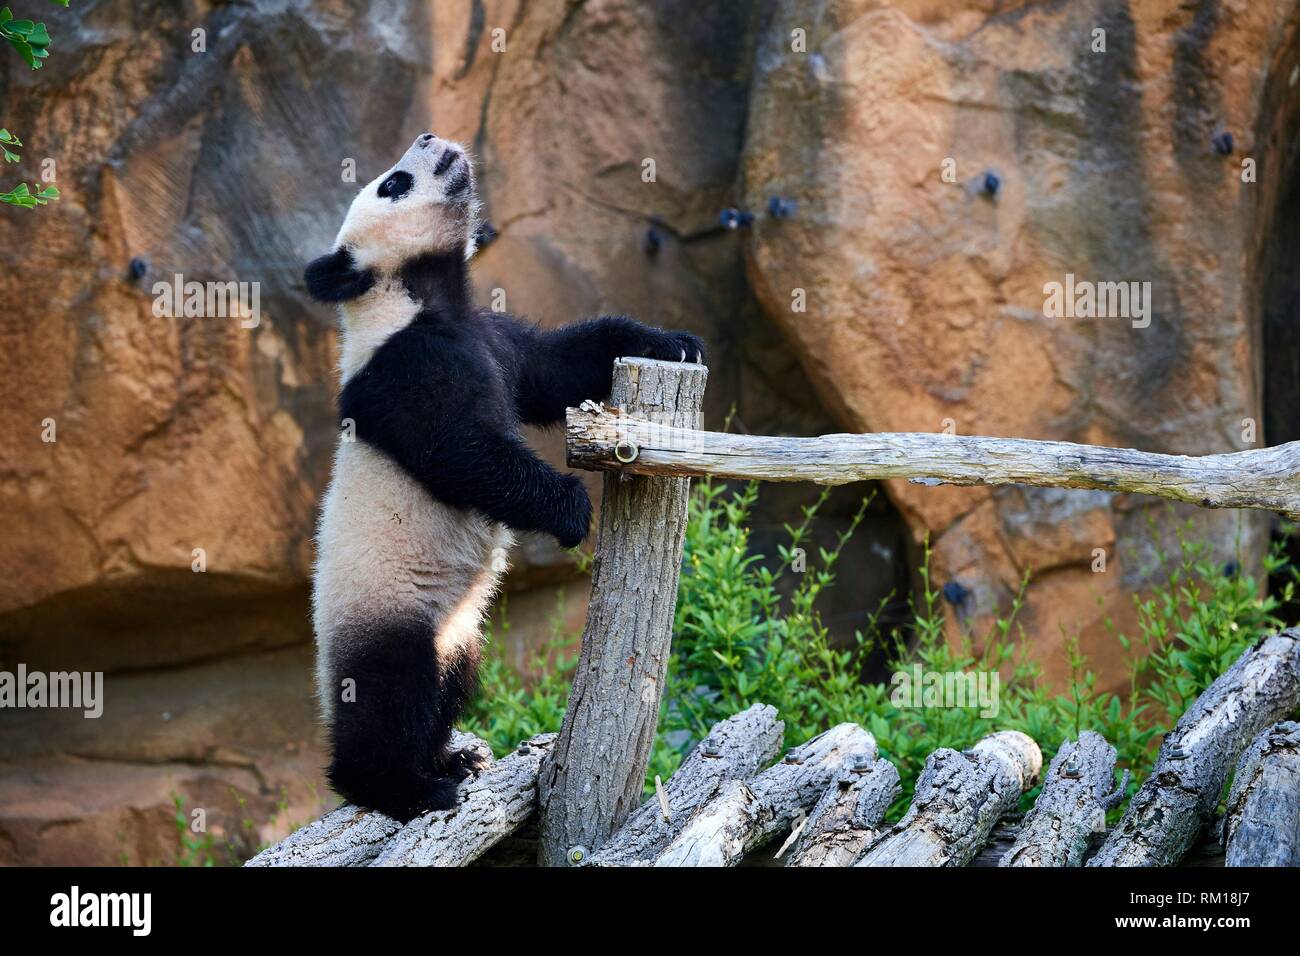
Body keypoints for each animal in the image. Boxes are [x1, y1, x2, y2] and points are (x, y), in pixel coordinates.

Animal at [304, 132, 705, 822]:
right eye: (392, 184)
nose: (429, 138)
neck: (419, 294)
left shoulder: (495, 337)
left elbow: (559, 366)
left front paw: (671, 341)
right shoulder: (404, 366)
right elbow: (462, 450)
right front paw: (572, 511)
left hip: (459, 629)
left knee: (449, 685)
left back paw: (449, 759)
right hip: (384, 605)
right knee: (389, 690)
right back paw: (401, 787)